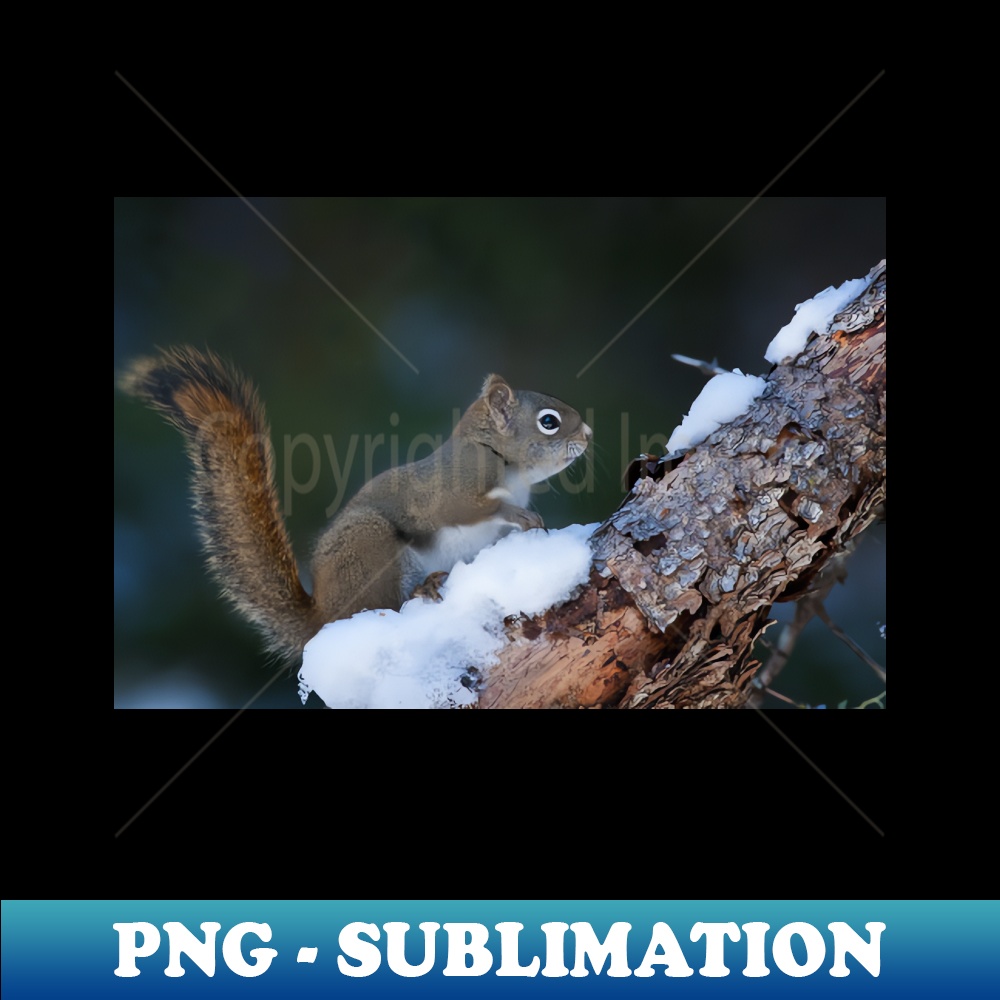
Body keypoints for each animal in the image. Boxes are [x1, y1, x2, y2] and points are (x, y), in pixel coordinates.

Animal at [120, 346, 592, 658]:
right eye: (549, 422)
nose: (588, 434)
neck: (502, 461)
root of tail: (322, 616)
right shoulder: (452, 487)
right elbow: (467, 509)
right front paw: (521, 514)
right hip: (370, 547)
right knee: (383, 605)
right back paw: (423, 587)